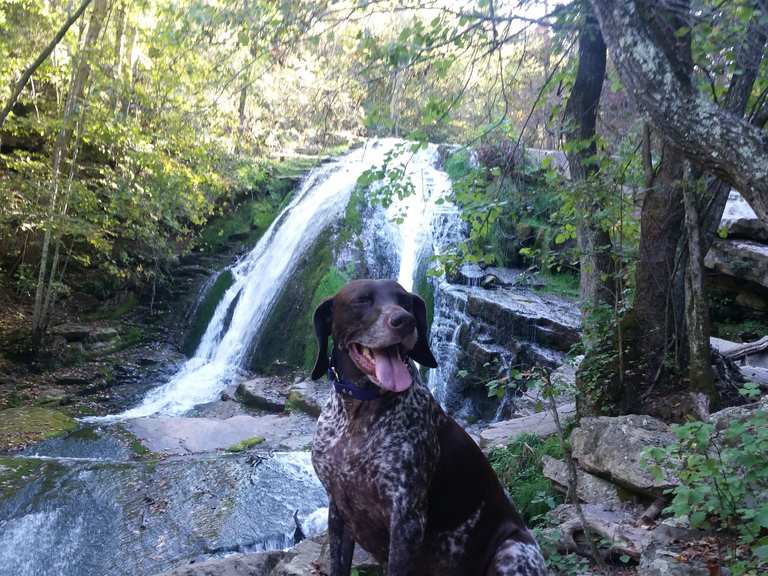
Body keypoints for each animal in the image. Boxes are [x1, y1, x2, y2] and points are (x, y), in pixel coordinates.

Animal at [308, 280, 544, 576]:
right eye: (362, 300)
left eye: (406, 302)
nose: (405, 321)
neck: (356, 417)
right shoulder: (338, 511)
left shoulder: (407, 520)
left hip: (513, 552)